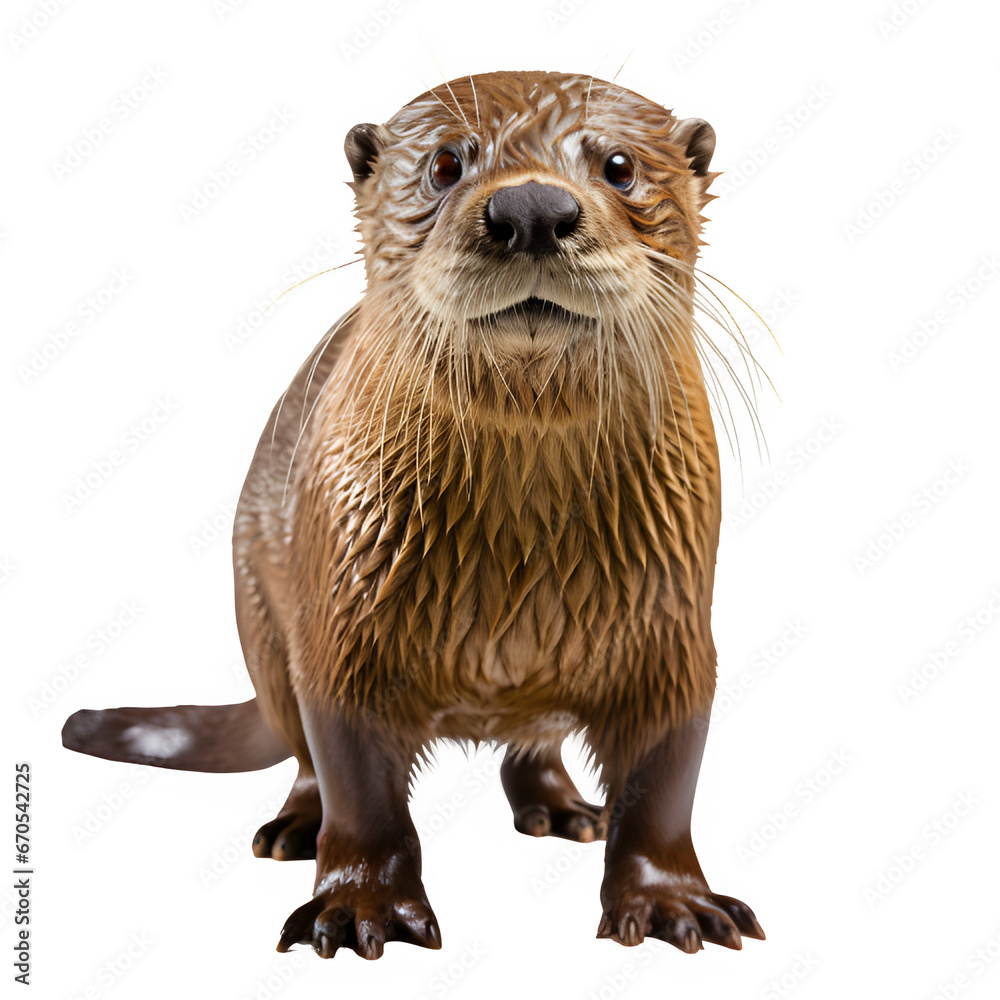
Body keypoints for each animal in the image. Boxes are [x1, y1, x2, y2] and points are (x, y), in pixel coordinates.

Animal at [63, 70, 765, 961]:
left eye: (618, 165)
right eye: (443, 164)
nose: (532, 207)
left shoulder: (673, 635)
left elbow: (664, 783)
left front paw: (675, 902)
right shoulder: (343, 628)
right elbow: (356, 779)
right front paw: (362, 907)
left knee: (536, 743)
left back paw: (563, 811)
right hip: (261, 609)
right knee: (303, 752)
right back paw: (294, 827)